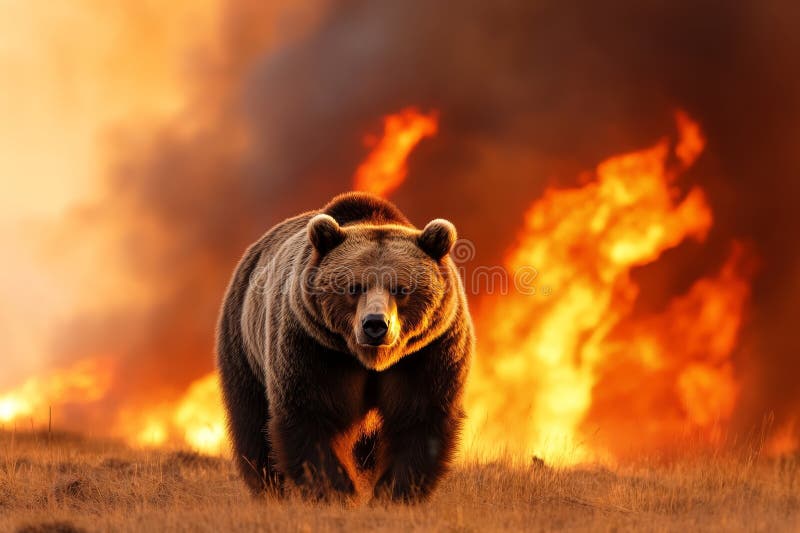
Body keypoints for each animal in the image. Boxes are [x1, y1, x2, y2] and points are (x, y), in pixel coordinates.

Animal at [216, 192, 474, 502]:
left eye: (401, 288)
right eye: (354, 287)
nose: (375, 324)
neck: (371, 360)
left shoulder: (428, 352)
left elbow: (418, 417)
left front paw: (395, 494)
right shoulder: (316, 347)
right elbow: (314, 415)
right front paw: (335, 492)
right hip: (243, 344)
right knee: (252, 422)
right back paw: (269, 489)